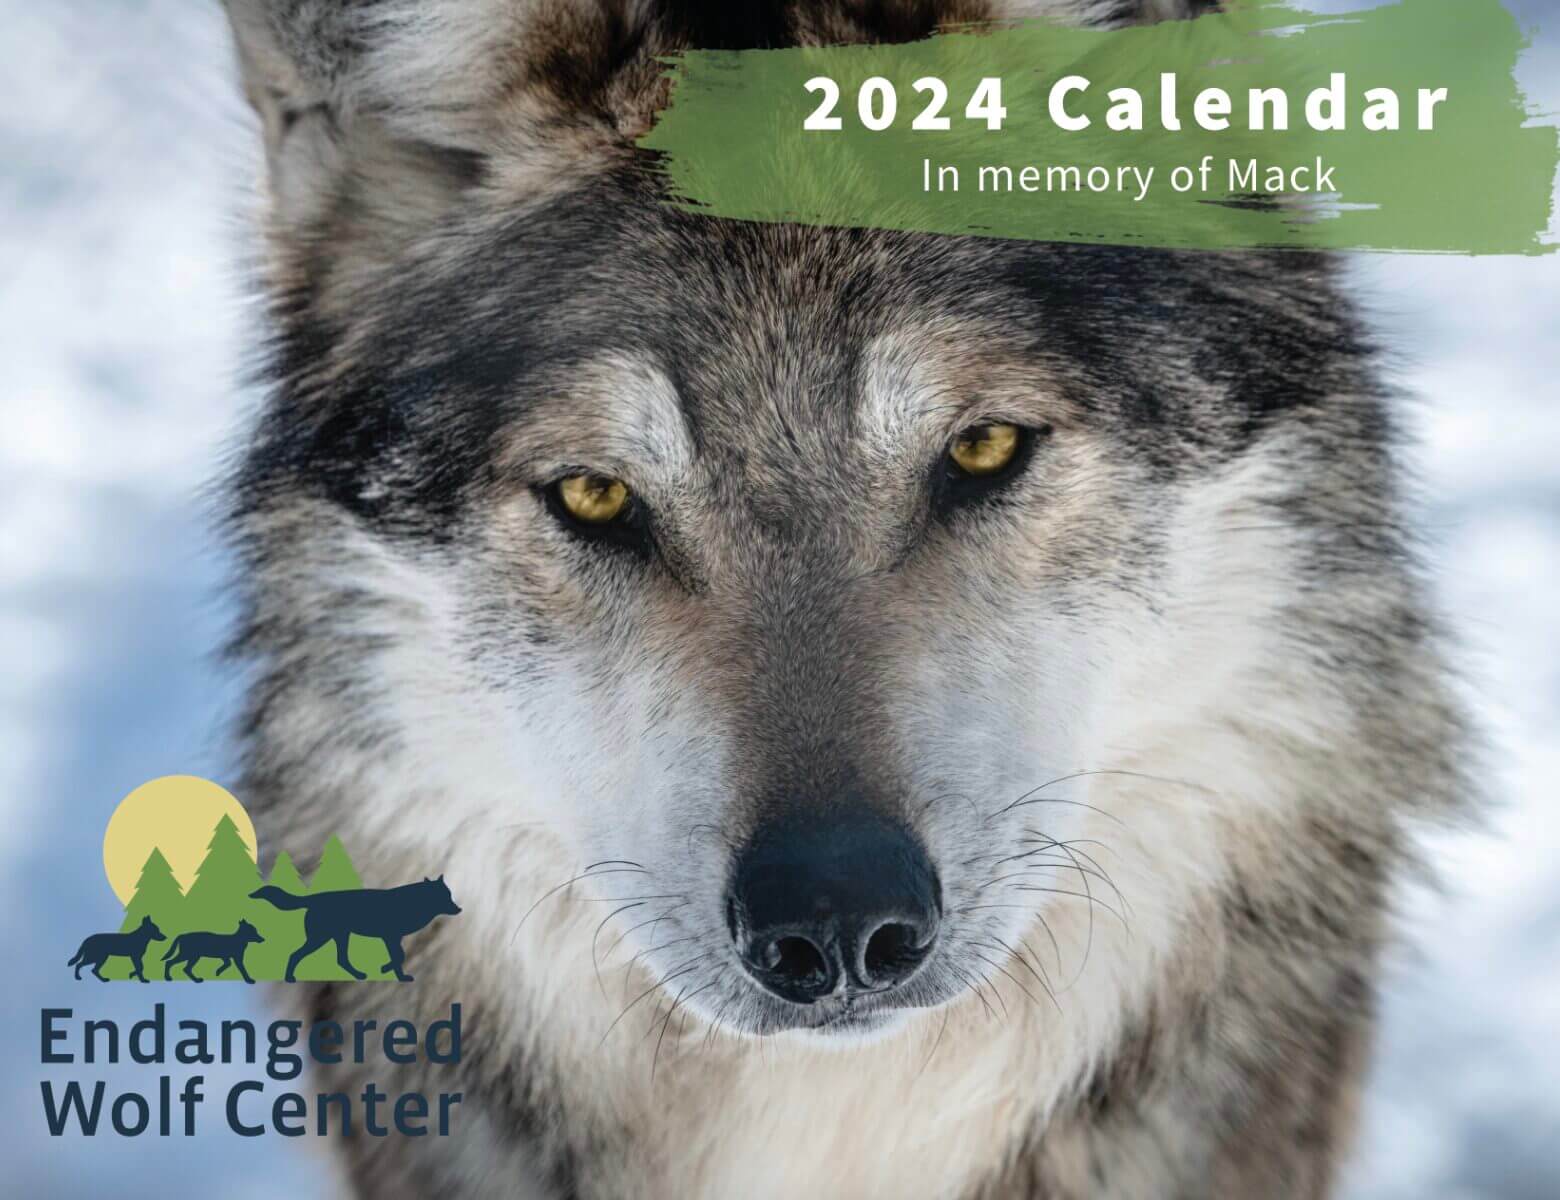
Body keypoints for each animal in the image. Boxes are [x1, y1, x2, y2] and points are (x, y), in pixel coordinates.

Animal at [251, 878, 462, 981]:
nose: (459, 909)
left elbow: (399, 956)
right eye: (445, 896)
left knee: (341, 960)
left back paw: (359, 975)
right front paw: (391, 971)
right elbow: (399, 956)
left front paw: (391, 971)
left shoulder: (393, 938)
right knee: (295, 954)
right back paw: (289, 977)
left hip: (340, 937)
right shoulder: (390, 937)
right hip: (321, 938)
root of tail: (312, 898)